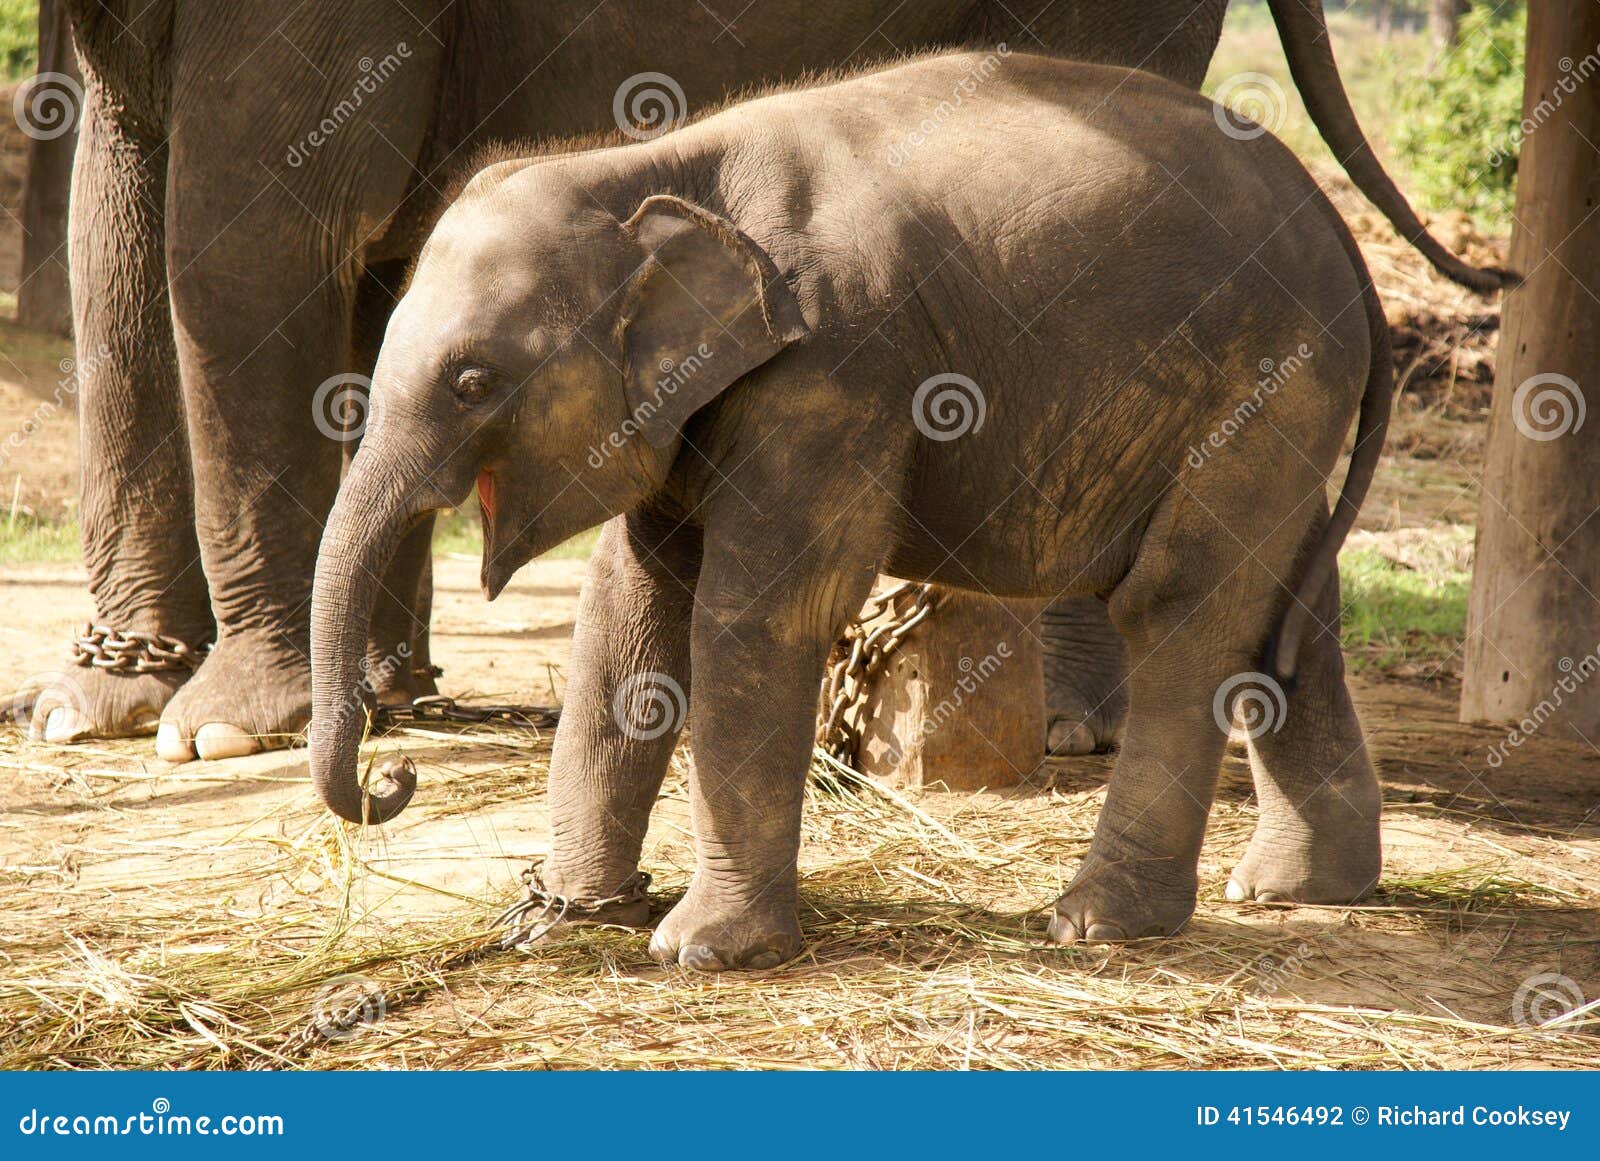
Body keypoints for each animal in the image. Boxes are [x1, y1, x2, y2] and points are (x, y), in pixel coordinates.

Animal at [28, 0, 1500, 764]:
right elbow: (121, 206)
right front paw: (99, 708)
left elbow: (247, 240)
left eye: (477, 381)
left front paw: (219, 735)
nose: (378, 781)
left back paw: (1078, 730)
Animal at [308, 49, 1389, 969]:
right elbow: (628, 610)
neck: (646, 168)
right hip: (1281, 410)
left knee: (1180, 604)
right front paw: (561, 919)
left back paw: (1096, 924)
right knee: (1291, 608)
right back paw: (1290, 890)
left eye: (472, 383)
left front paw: (702, 951)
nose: (392, 779)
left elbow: (758, 611)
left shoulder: (836, 371)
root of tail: (1339, 232)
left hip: (1264, 385)